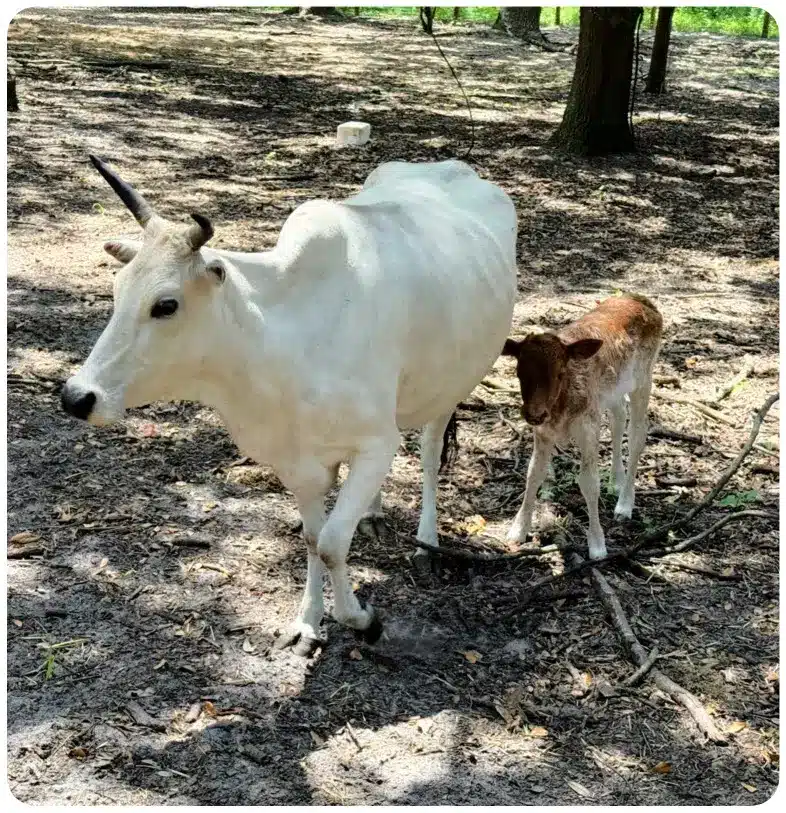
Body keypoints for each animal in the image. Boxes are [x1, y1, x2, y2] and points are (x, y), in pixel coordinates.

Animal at [61, 155, 518, 654]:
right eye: (117, 290)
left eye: (166, 304)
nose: (77, 396)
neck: (282, 342)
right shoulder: (297, 462)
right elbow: (314, 538)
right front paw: (308, 622)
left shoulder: (377, 442)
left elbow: (333, 543)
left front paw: (362, 619)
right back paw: (373, 514)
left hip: (449, 388)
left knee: (432, 454)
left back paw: (425, 543)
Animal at [501, 294, 663, 559]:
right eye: (519, 372)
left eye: (560, 372)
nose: (535, 414)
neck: (560, 411)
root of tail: (642, 300)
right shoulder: (543, 433)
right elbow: (533, 473)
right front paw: (517, 530)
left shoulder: (588, 426)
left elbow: (588, 482)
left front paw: (597, 545)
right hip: (611, 392)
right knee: (619, 416)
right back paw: (616, 481)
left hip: (644, 378)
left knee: (638, 434)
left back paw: (624, 504)